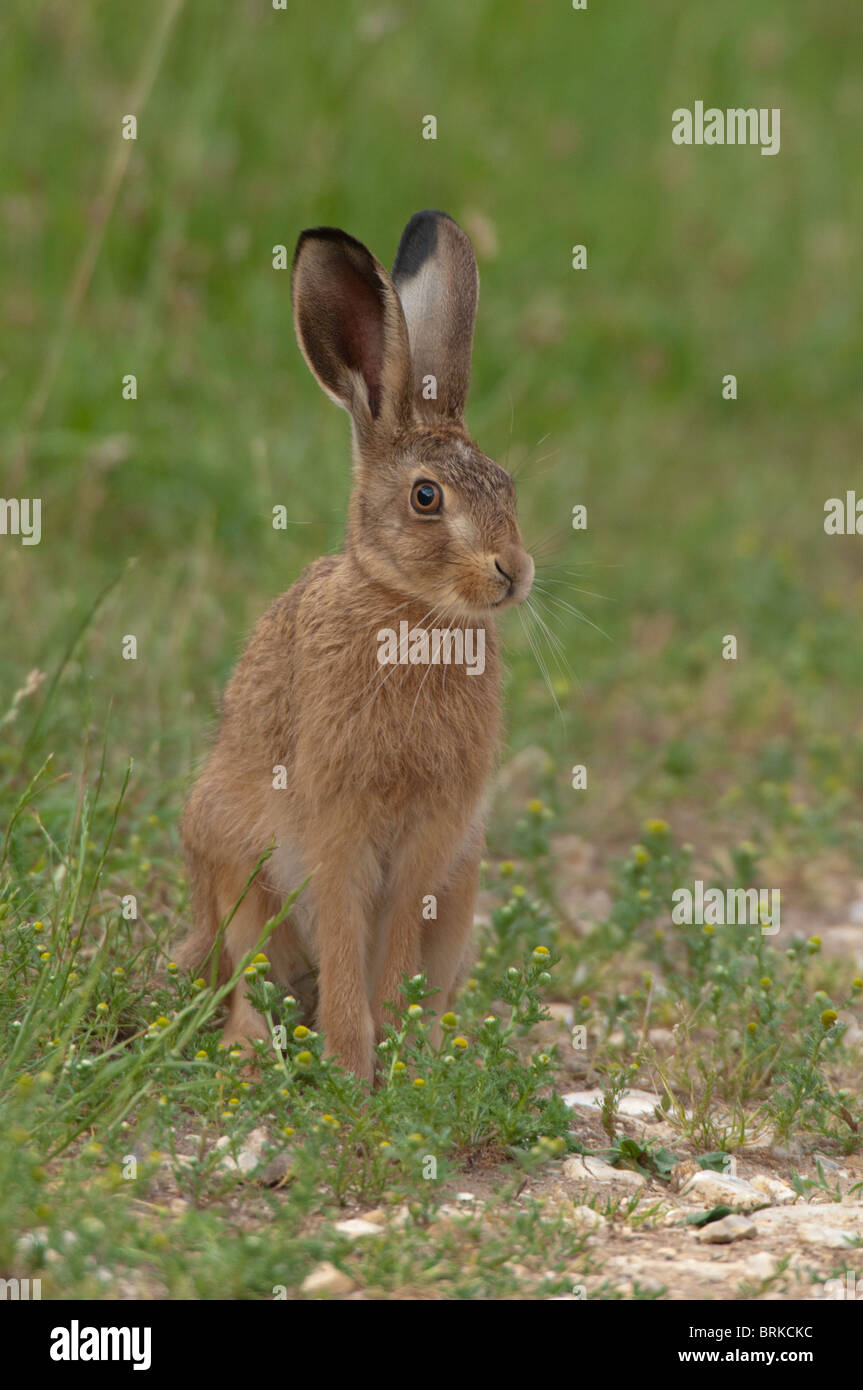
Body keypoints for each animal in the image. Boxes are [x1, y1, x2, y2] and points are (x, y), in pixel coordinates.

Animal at [178, 210, 534, 1083]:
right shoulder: (333, 825)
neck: (410, 612)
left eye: (507, 486)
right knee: (243, 977)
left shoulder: (430, 845)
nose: (512, 573)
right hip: (232, 867)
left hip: (464, 888)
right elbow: (344, 932)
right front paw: (348, 1062)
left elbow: (396, 946)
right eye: (426, 497)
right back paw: (254, 1049)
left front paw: (392, 1063)